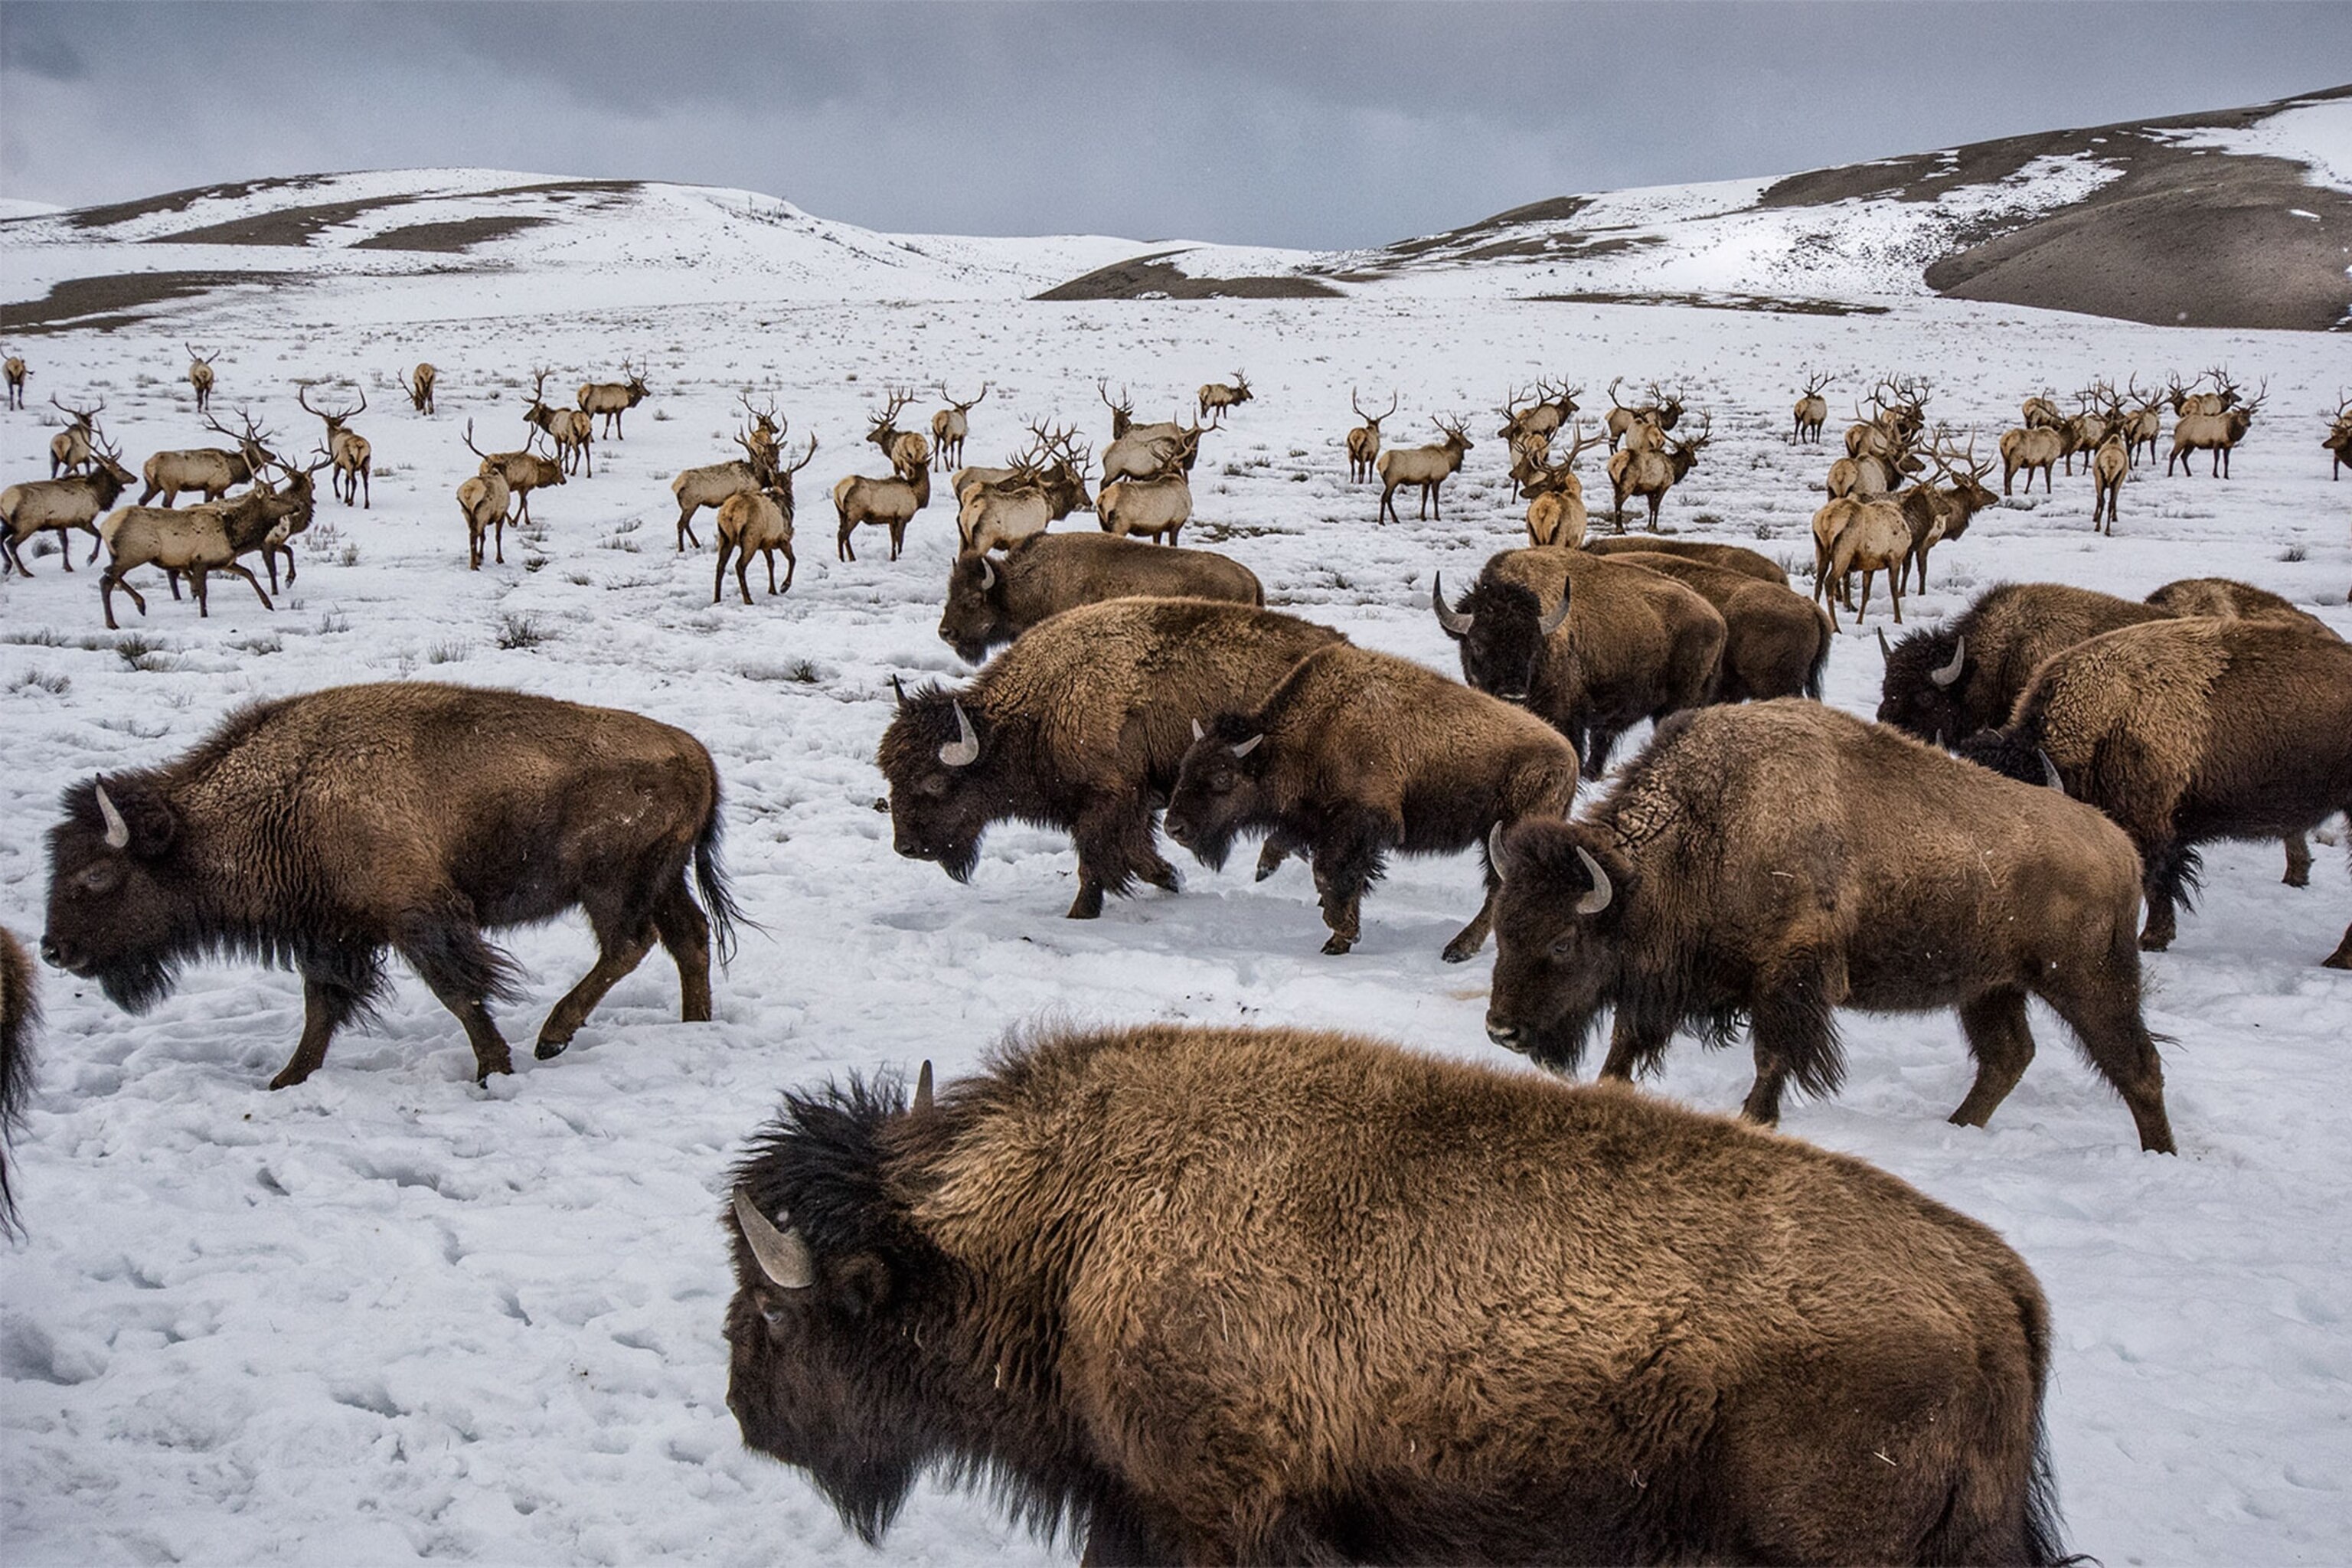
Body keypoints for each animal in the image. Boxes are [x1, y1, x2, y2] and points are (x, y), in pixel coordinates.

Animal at [41, 683, 740, 1089]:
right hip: (660, 879)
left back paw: (553, 1036)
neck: (287, 795)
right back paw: (693, 1025)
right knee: (686, 939)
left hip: (610, 886)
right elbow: (320, 1008)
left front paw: (493, 1069)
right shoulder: (330, 934)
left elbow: (458, 992)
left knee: (630, 945)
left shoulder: (418, 918)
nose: (53, 949)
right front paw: (287, 1080)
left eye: (97, 875)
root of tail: (696, 752)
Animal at [879, 598, 1342, 921]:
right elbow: (1135, 853)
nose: (906, 847)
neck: (1041, 707)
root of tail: (1341, 647)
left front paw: (1080, 913)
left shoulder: (1107, 800)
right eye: (890, 774)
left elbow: (1094, 861)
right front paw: (1171, 879)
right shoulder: (1131, 804)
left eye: (934, 781)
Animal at [1164, 644, 1580, 959]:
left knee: (1498, 889)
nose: (1174, 827)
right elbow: (1311, 857)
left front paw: (1342, 931)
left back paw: (1458, 949)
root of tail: (1569, 754)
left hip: (1506, 835)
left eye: (1222, 778)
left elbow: (1330, 873)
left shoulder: (1362, 820)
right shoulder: (1318, 823)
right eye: (1185, 767)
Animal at [1487, 700, 2177, 1151]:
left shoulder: (1787, 978)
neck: (1710, 825)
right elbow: (1626, 1042)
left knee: (2137, 1065)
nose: (1501, 1030)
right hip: (1990, 988)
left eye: (1562, 941)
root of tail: (2119, 845)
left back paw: (2159, 1154)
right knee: (2008, 1056)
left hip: (2087, 982)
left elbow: (1772, 1056)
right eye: (1503, 927)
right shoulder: (1669, 980)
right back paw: (1956, 1128)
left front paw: (1754, 1122)